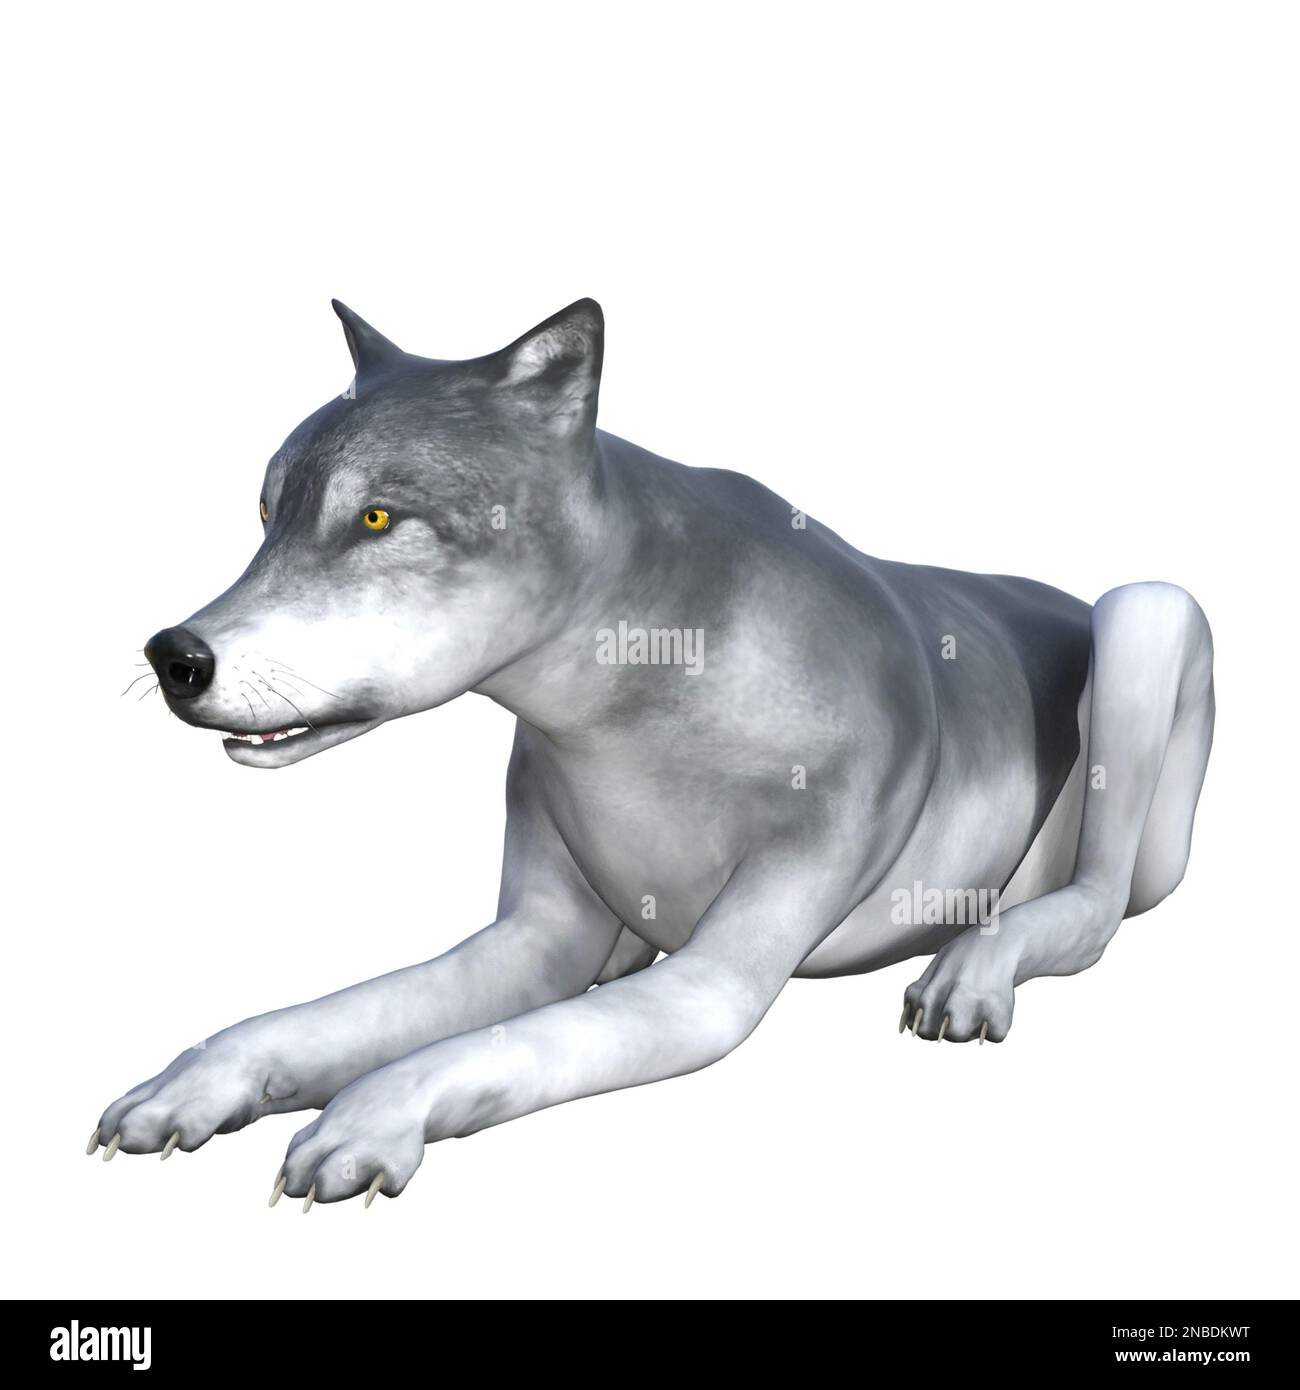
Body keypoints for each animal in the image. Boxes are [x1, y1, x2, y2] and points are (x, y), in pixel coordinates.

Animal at [91, 299, 1214, 1208]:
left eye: (375, 517)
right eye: (266, 512)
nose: (172, 656)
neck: (638, 694)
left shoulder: (711, 981)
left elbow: (492, 1045)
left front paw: (365, 1121)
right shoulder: (539, 938)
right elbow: (326, 1019)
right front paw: (195, 1082)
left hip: (1148, 611)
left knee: (1097, 907)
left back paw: (973, 968)